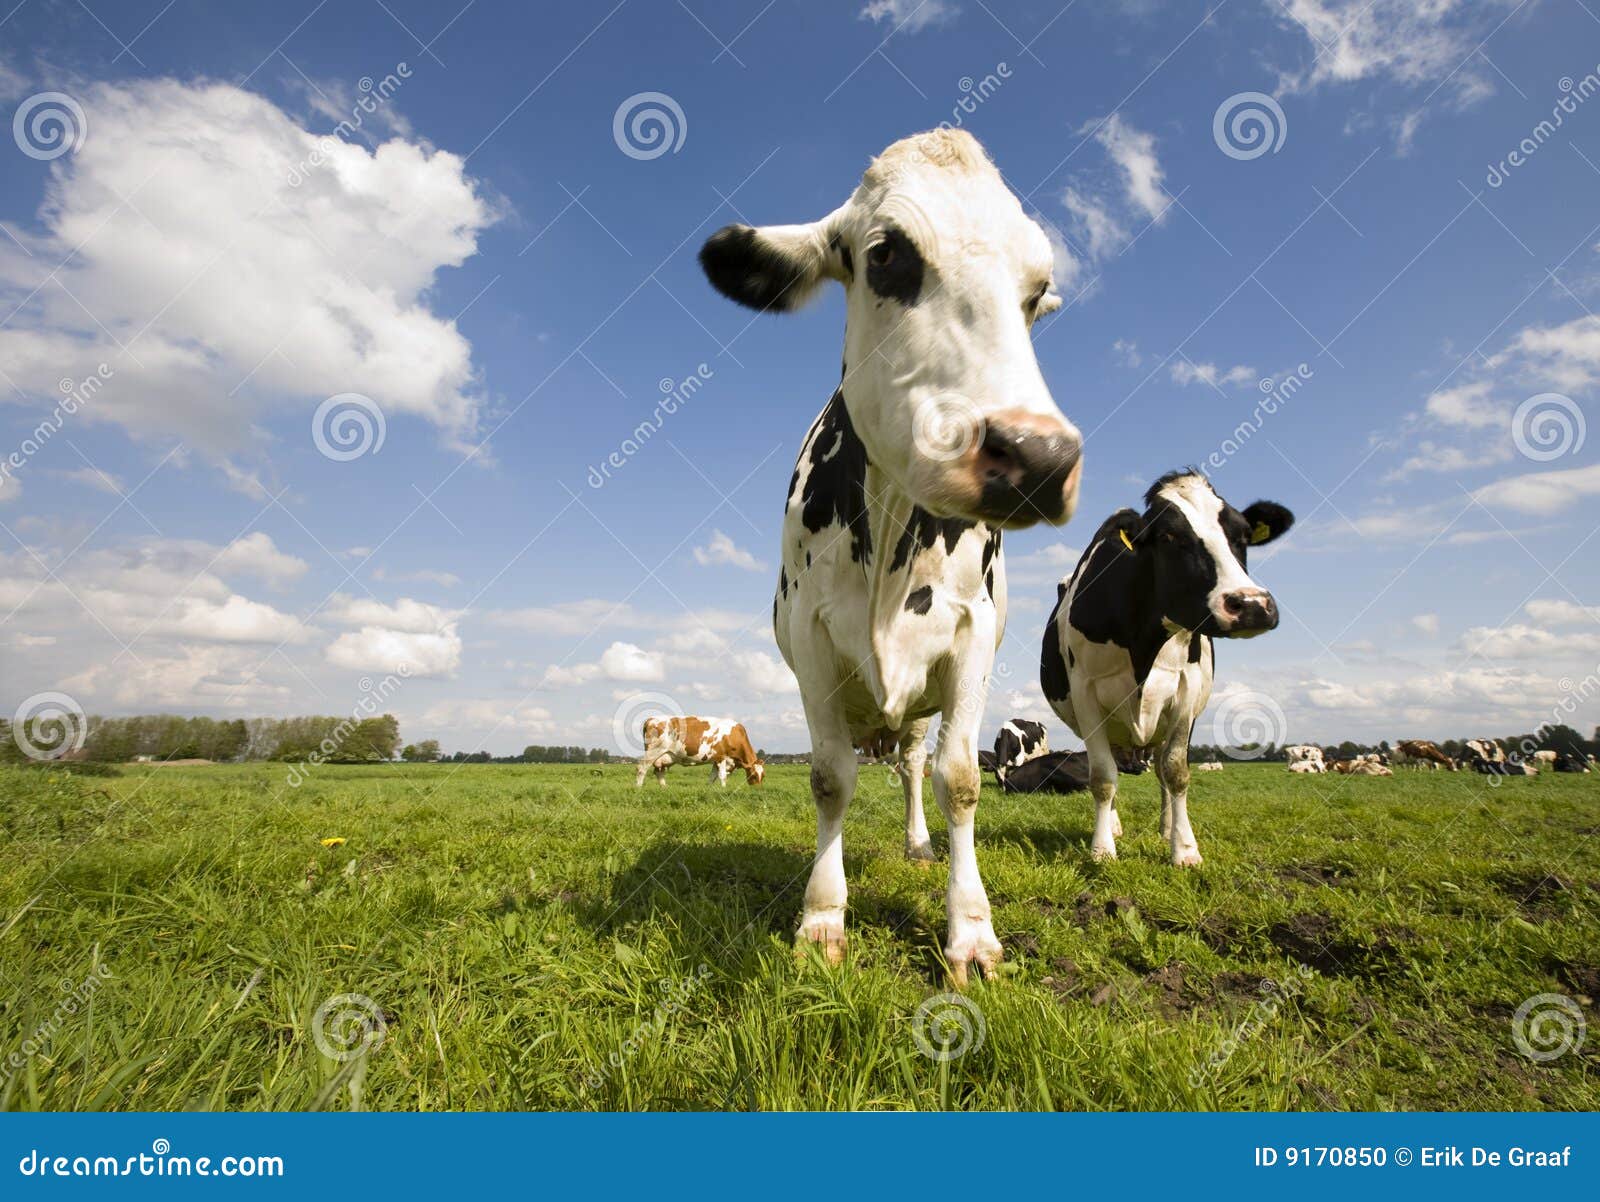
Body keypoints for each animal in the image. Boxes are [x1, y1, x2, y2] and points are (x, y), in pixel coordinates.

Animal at [634, 717, 765, 787]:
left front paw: (709, 789)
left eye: (763, 776)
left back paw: (665, 788)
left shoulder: (716, 761)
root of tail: (651, 719)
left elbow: (712, 777)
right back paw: (638, 787)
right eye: (753, 775)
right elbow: (722, 776)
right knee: (642, 768)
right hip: (653, 752)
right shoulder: (721, 757)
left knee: (659, 772)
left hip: (665, 756)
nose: (756, 790)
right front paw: (724, 789)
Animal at [700, 129, 1083, 985]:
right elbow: (829, 778)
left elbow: (960, 780)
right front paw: (821, 918)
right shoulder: (809, 639)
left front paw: (970, 931)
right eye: (886, 255)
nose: (1037, 456)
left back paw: (915, 844)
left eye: (1037, 291)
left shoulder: (971, 636)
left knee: (912, 766)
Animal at [1041, 470, 1293, 866]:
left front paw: (1185, 849)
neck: (1142, 645)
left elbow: (1176, 773)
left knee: (1160, 770)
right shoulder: (1086, 693)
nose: (1252, 604)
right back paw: (1115, 825)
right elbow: (1103, 777)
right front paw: (1102, 849)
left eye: (1241, 536)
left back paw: (1166, 828)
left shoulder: (1185, 693)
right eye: (1169, 537)